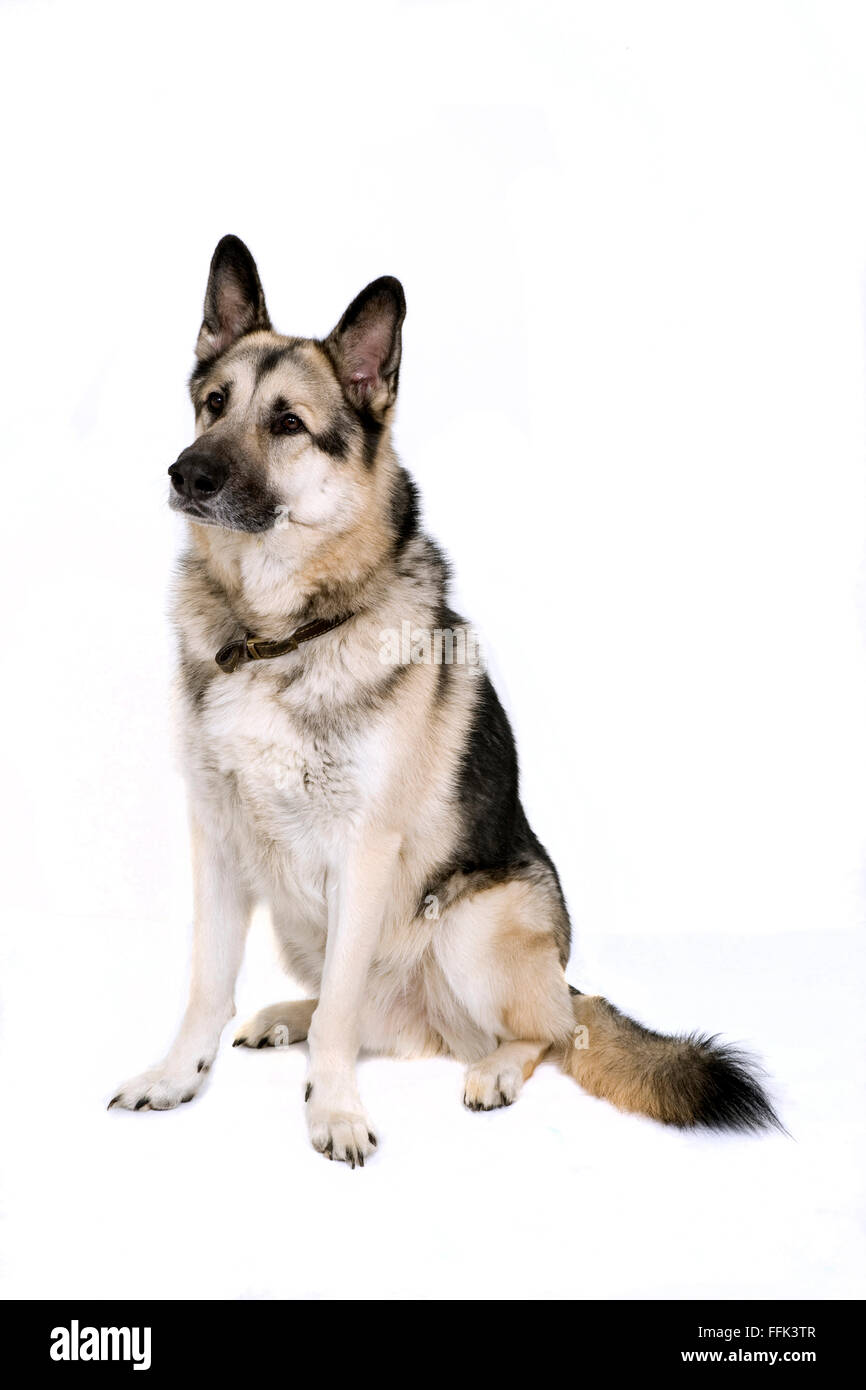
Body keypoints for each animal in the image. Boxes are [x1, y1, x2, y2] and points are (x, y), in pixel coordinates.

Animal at [109, 236, 779, 1163]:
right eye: (214, 405)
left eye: (288, 424)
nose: (185, 473)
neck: (283, 635)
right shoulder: (217, 843)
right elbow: (207, 985)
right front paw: (178, 1078)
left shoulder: (361, 854)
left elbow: (341, 1018)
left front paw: (333, 1111)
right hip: (302, 924)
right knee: (362, 1015)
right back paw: (287, 1016)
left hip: (470, 925)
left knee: (548, 1030)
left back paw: (491, 1067)